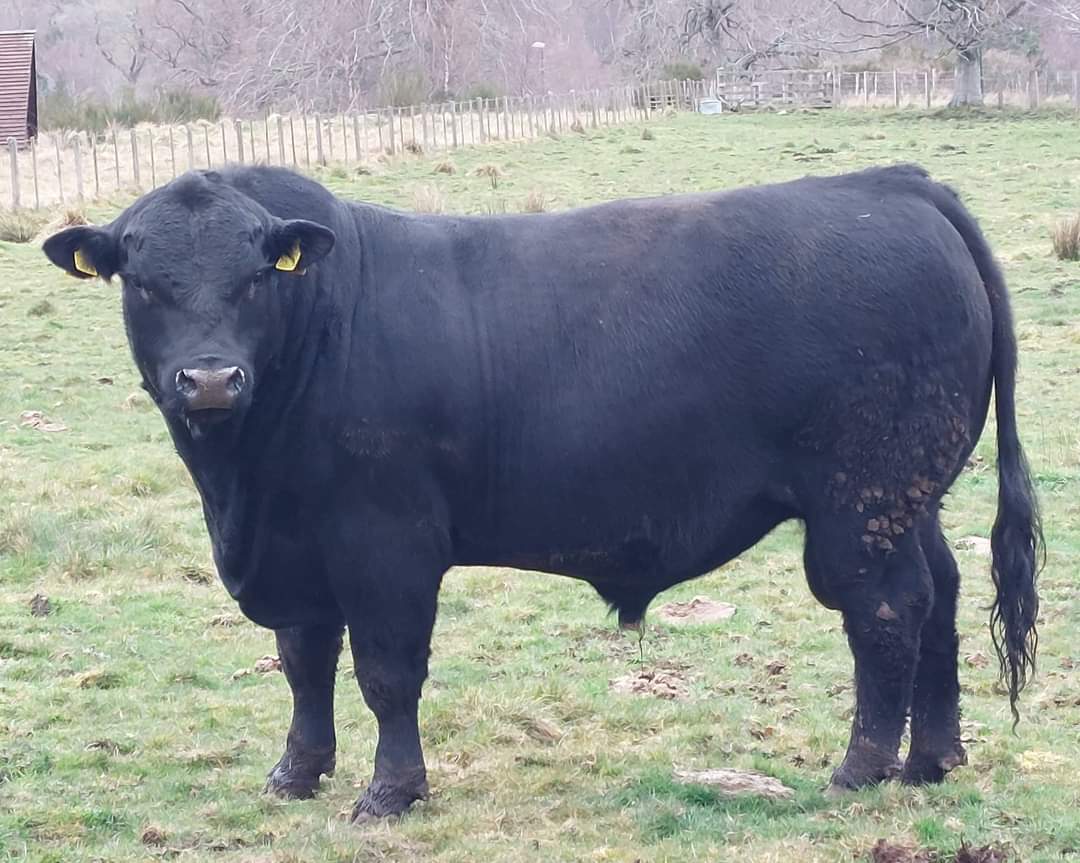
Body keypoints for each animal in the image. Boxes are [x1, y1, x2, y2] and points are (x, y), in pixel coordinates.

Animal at [42, 163, 1041, 820]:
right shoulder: (299, 549)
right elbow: (304, 661)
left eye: (256, 274)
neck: (243, 482)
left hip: (859, 504)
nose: (211, 379)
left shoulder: (385, 543)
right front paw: (296, 772)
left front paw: (389, 790)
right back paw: (933, 758)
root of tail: (898, 184)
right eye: (143, 280)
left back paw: (862, 767)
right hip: (912, 496)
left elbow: (386, 672)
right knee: (943, 597)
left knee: (887, 612)